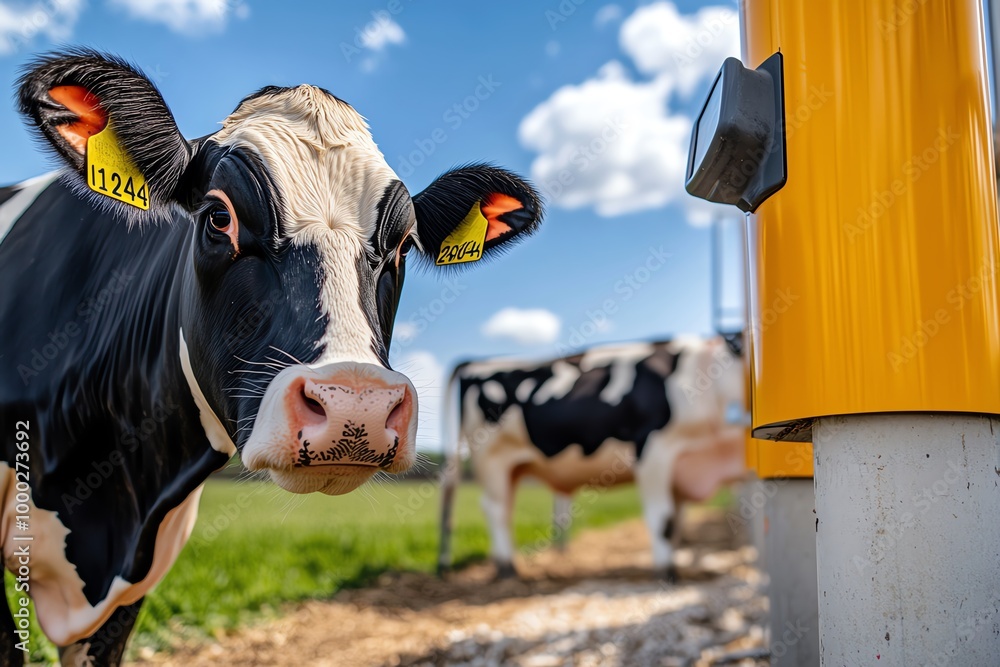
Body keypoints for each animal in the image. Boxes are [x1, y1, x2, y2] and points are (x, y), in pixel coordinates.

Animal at [438, 335, 745, 580]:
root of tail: (476, 363)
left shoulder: (683, 468)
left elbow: (678, 521)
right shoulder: (653, 452)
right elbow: (663, 519)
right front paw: (666, 573)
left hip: (513, 467)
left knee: (505, 507)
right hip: (491, 460)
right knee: (495, 509)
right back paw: (507, 569)